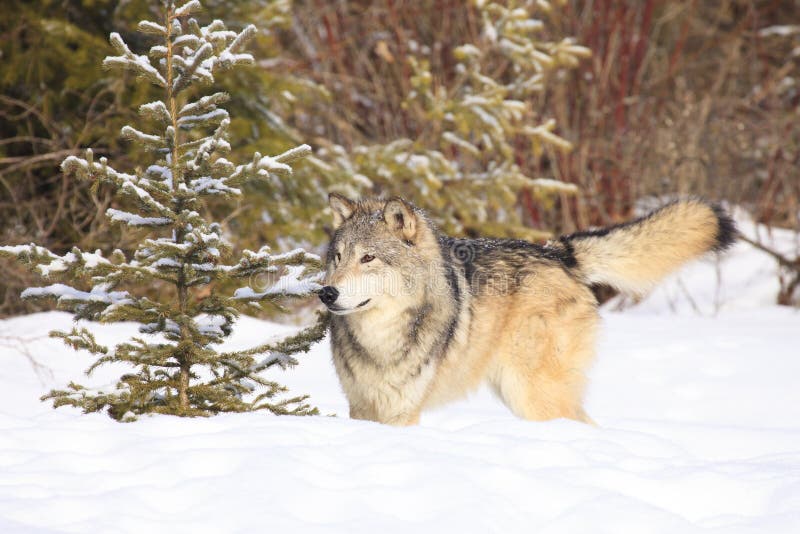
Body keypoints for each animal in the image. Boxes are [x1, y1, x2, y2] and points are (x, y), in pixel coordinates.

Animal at [319, 194, 736, 426]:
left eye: (368, 258)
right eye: (338, 257)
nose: (326, 292)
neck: (379, 340)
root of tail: (559, 253)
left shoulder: (401, 413)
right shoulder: (360, 408)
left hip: (533, 394)